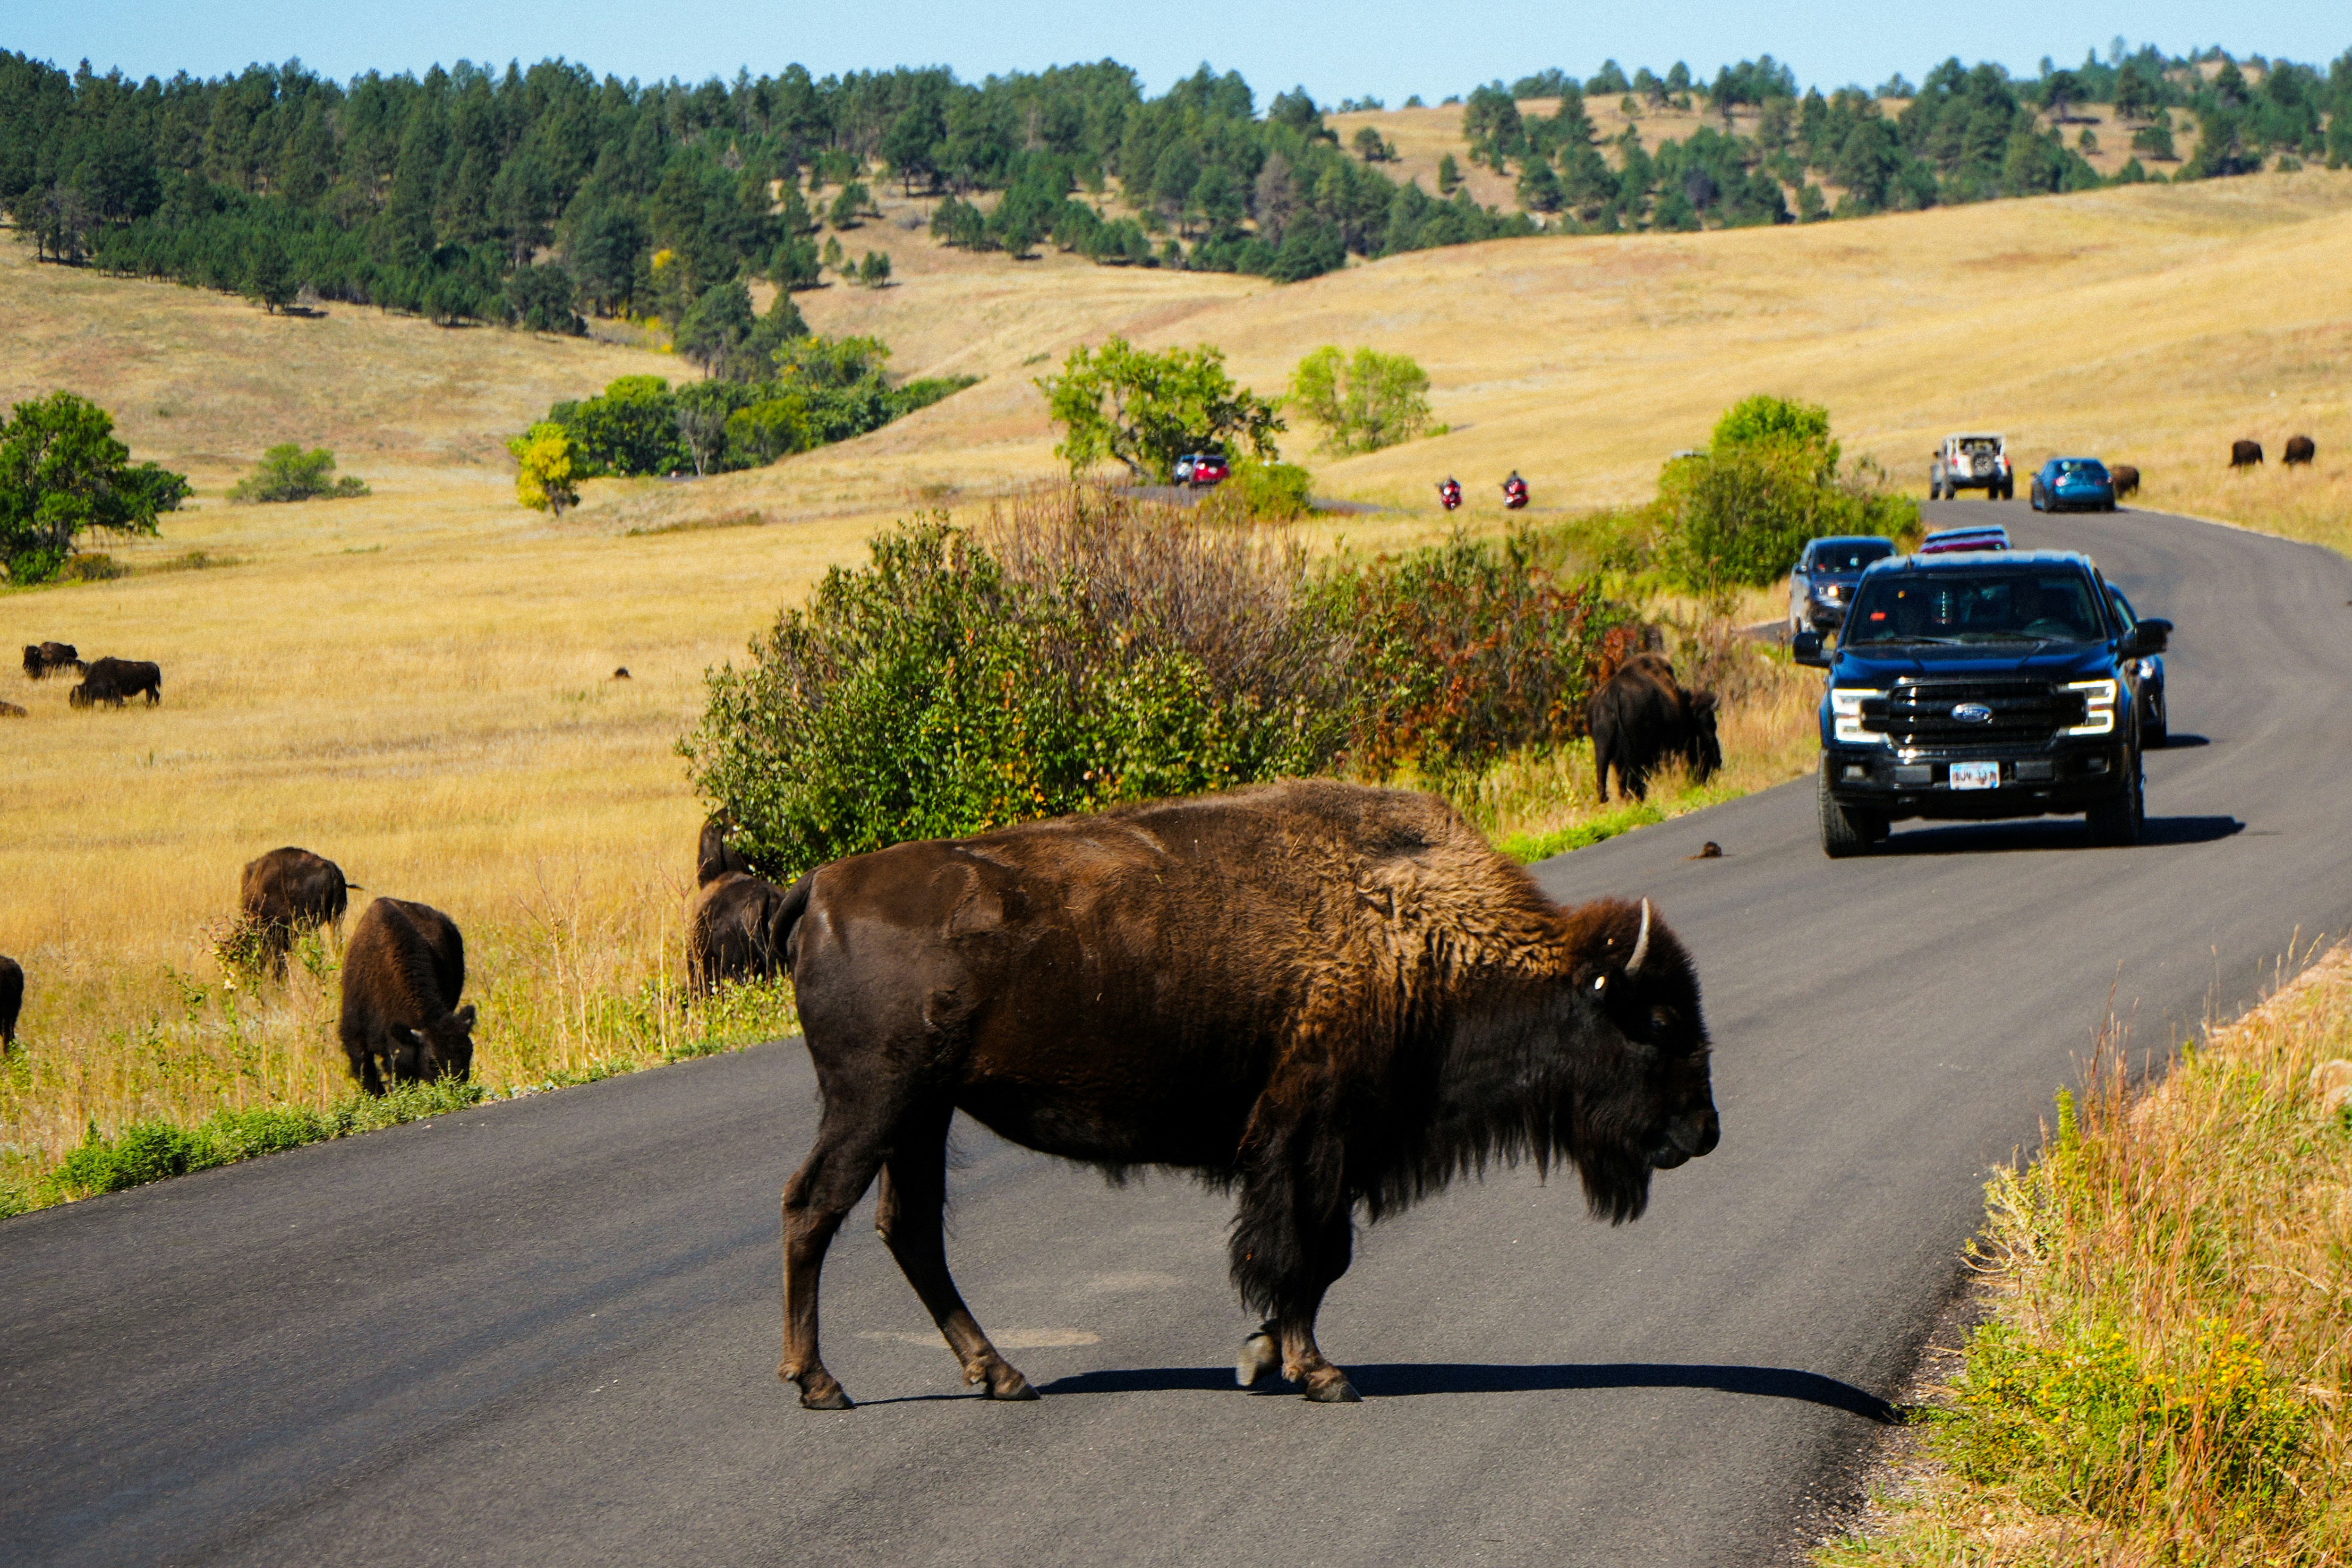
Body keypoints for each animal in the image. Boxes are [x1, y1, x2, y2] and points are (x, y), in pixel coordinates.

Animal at [68, 658, 162, 709]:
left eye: (80, 696)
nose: (75, 706)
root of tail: (155, 666)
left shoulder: (115, 692)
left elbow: (117, 701)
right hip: (150, 687)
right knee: (156, 695)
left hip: (150, 687)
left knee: (150, 697)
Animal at [770, 780, 1718, 1409]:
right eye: (1657, 1020)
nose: (1705, 1131)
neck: (1413, 928)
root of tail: (821, 887)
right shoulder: (1312, 1138)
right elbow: (1305, 1252)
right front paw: (1312, 1370)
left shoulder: (1335, 1148)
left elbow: (1319, 1259)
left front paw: (1267, 1354)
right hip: (876, 1104)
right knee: (815, 1208)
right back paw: (820, 1383)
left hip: (921, 1117)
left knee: (909, 1231)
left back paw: (1001, 1374)